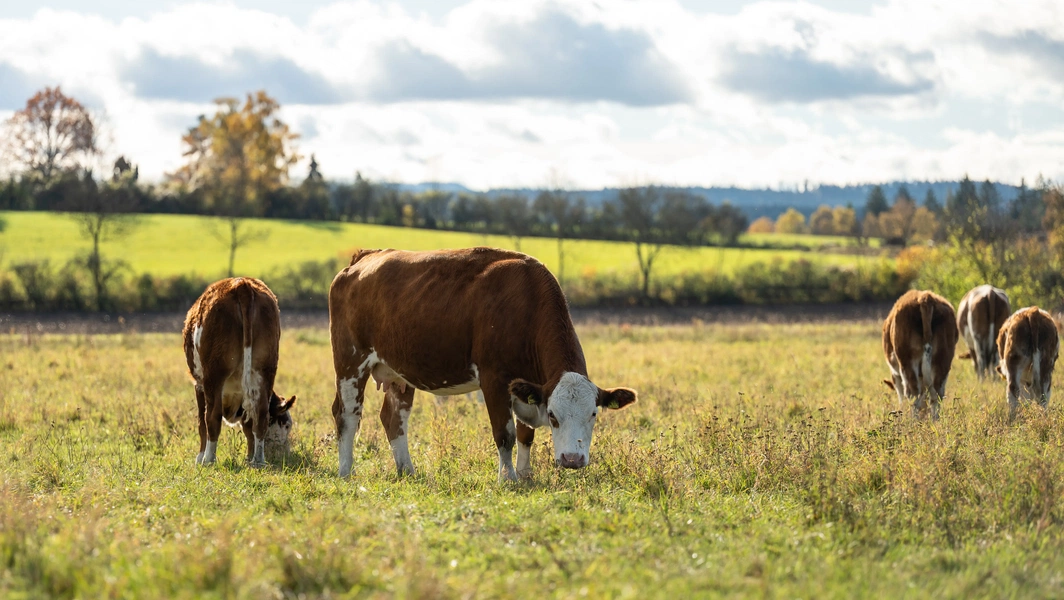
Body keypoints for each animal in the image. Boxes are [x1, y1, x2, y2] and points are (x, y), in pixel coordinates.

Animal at [183, 277, 297, 466]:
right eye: (286, 425)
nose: (286, 453)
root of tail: (242, 284)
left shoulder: (199, 385)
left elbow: (201, 420)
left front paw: (199, 457)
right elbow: (249, 426)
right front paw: (249, 457)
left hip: (214, 374)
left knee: (212, 417)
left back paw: (208, 459)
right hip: (266, 370)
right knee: (260, 415)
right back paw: (258, 460)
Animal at [328, 247, 637, 482]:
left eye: (593, 415)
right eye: (553, 416)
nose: (572, 459)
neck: (526, 304)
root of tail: (364, 257)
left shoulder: (526, 387)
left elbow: (525, 434)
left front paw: (525, 475)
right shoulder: (494, 379)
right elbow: (505, 434)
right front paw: (508, 478)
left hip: (398, 372)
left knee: (394, 418)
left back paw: (407, 471)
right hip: (350, 362)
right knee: (347, 415)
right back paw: (346, 473)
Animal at [882, 289, 958, 419]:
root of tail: (925, 297)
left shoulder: (895, 374)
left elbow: (901, 396)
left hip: (907, 362)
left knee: (913, 394)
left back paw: (913, 421)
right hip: (943, 359)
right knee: (937, 393)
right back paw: (934, 420)